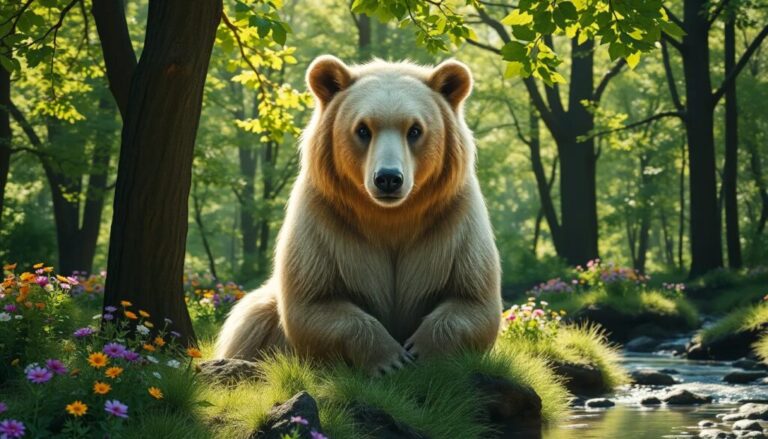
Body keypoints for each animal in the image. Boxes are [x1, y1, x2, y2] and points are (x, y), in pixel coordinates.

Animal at [215, 55, 502, 376]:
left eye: (415, 129)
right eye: (363, 129)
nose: (388, 178)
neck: (390, 216)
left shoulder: (456, 222)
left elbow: (474, 300)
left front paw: (422, 352)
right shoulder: (321, 220)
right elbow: (312, 301)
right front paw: (389, 358)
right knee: (252, 318)